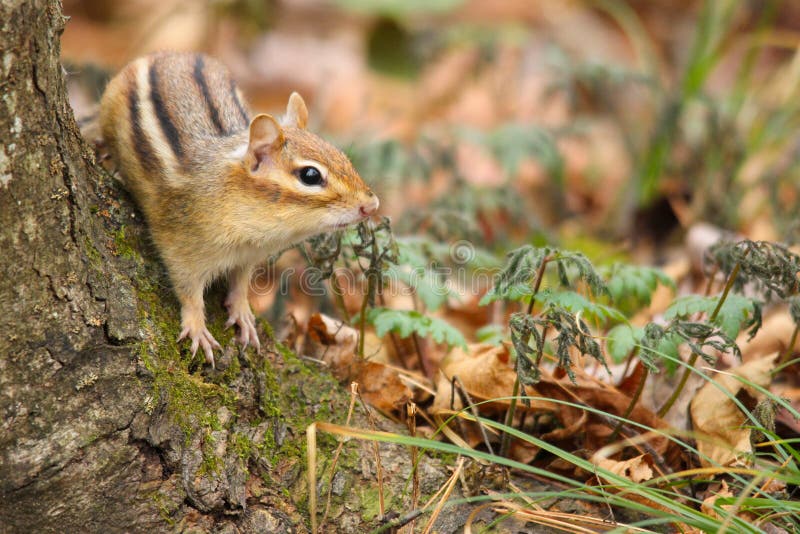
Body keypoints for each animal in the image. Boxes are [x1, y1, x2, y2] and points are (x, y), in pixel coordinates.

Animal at [99, 51, 379, 367]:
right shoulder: (180, 247)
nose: (371, 205)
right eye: (310, 175)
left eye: (343, 156)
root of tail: (170, 53)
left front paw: (243, 313)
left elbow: (241, 283)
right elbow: (188, 291)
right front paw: (198, 328)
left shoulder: (248, 258)